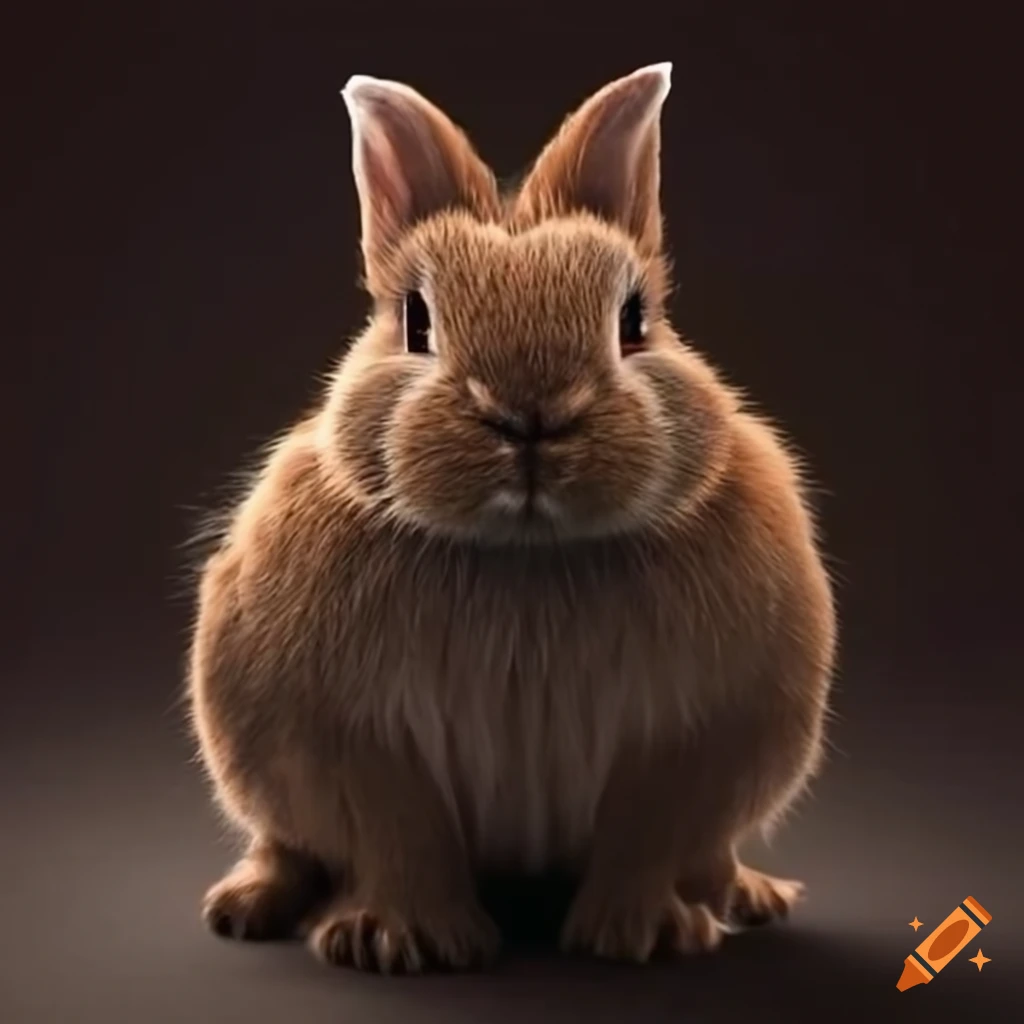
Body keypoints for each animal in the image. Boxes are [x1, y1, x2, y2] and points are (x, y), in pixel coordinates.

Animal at [188, 61, 837, 975]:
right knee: (288, 847)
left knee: (708, 855)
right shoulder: (354, 741)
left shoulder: (689, 740)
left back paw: (749, 898)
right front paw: (404, 941)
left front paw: (641, 936)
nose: (531, 414)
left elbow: (646, 835)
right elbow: (402, 835)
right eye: (416, 321)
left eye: (635, 320)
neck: (528, 553)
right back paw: (244, 907)